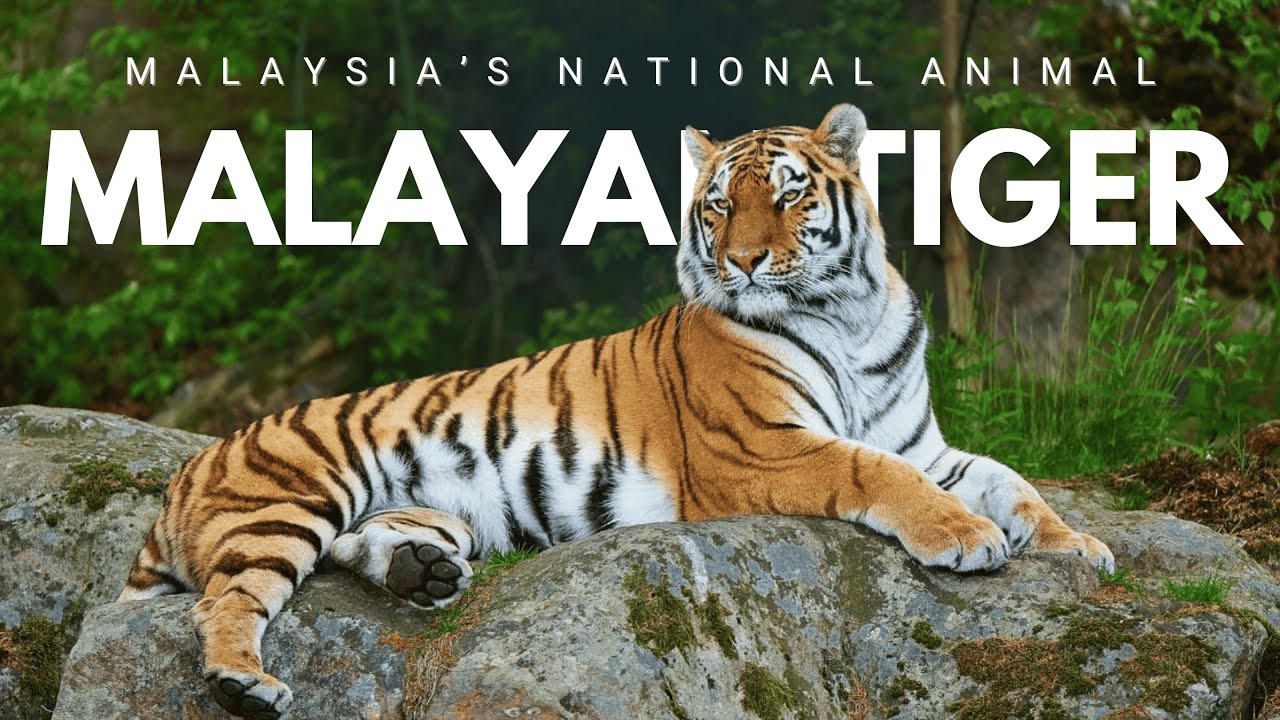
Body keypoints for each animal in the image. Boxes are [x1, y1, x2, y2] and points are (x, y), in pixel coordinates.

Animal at [119, 103, 1114, 720]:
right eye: (719, 204)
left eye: (788, 193)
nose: (744, 261)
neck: (849, 313)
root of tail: (187, 469)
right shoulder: (762, 448)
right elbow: (877, 473)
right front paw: (966, 538)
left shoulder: (922, 439)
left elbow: (1007, 479)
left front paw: (1076, 546)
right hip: (288, 500)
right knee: (225, 601)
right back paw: (244, 683)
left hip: (432, 511)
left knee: (358, 550)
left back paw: (420, 575)